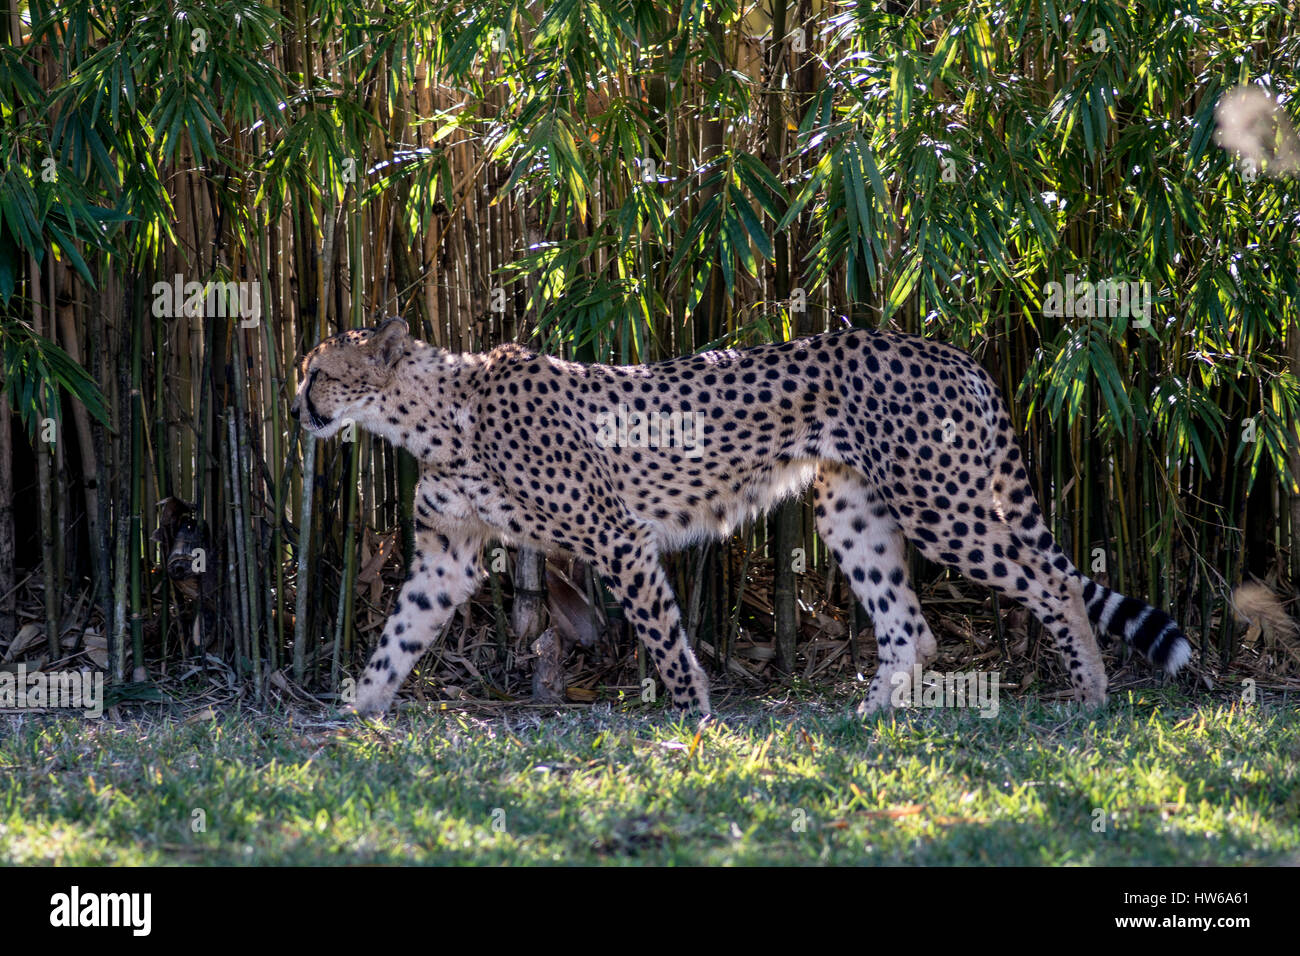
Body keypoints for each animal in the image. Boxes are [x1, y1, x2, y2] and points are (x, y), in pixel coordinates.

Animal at [290, 317, 1192, 718]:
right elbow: (398, 636)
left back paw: (1092, 695)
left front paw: (697, 721)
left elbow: (665, 638)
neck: (434, 416)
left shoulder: (618, 537)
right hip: (850, 509)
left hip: (942, 504)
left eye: (320, 373)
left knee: (1053, 581)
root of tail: (949, 351)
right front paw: (354, 715)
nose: (296, 407)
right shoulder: (446, 556)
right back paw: (870, 719)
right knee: (914, 627)